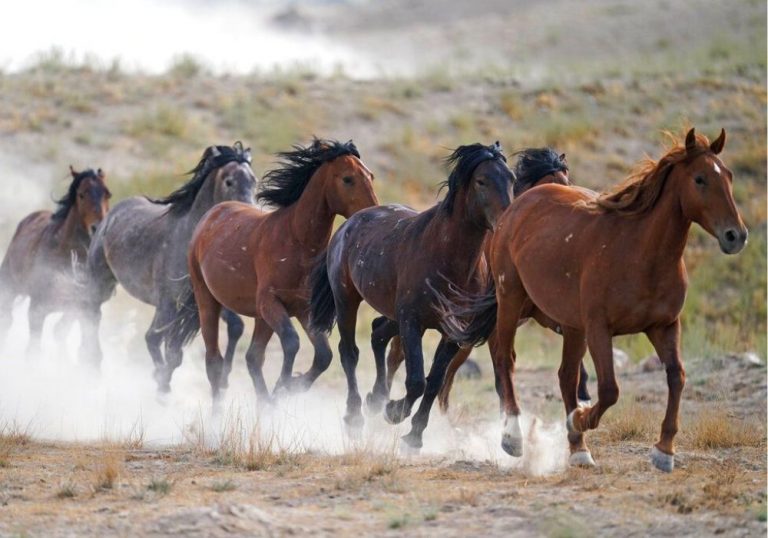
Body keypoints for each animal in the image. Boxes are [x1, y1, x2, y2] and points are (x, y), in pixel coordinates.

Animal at [0, 167, 110, 357]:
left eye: (107, 194)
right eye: (81, 194)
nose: (98, 228)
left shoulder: (86, 310)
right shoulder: (37, 308)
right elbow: (33, 350)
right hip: (9, 286)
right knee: (7, 319)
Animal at [82, 143, 256, 390]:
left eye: (254, 181)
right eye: (229, 181)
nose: (250, 215)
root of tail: (114, 212)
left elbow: (234, 327)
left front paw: (223, 378)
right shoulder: (168, 303)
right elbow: (157, 342)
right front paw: (161, 384)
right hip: (99, 281)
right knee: (92, 316)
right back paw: (91, 361)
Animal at [184, 139, 377, 403]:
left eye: (370, 175)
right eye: (348, 179)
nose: (373, 212)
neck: (296, 241)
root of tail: (211, 214)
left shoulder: (303, 310)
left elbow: (323, 356)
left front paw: (288, 387)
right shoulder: (271, 302)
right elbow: (291, 342)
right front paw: (282, 387)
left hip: (260, 318)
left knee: (253, 358)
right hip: (208, 300)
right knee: (214, 361)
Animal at [310, 142, 513, 451]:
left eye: (511, 178)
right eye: (481, 181)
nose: (506, 223)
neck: (447, 259)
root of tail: (349, 223)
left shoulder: (452, 331)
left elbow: (434, 380)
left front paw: (414, 435)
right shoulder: (412, 322)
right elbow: (417, 380)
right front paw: (394, 412)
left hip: (392, 313)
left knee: (377, 332)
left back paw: (375, 398)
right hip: (347, 300)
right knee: (349, 352)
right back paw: (355, 416)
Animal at [438, 129, 747, 472]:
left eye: (729, 176)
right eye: (700, 179)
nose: (736, 235)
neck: (641, 253)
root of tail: (515, 209)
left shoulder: (664, 326)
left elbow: (676, 377)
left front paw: (664, 451)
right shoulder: (599, 328)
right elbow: (610, 389)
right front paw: (580, 420)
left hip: (570, 326)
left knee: (564, 375)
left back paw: (578, 450)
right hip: (511, 300)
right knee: (505, 359)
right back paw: (514, 438)